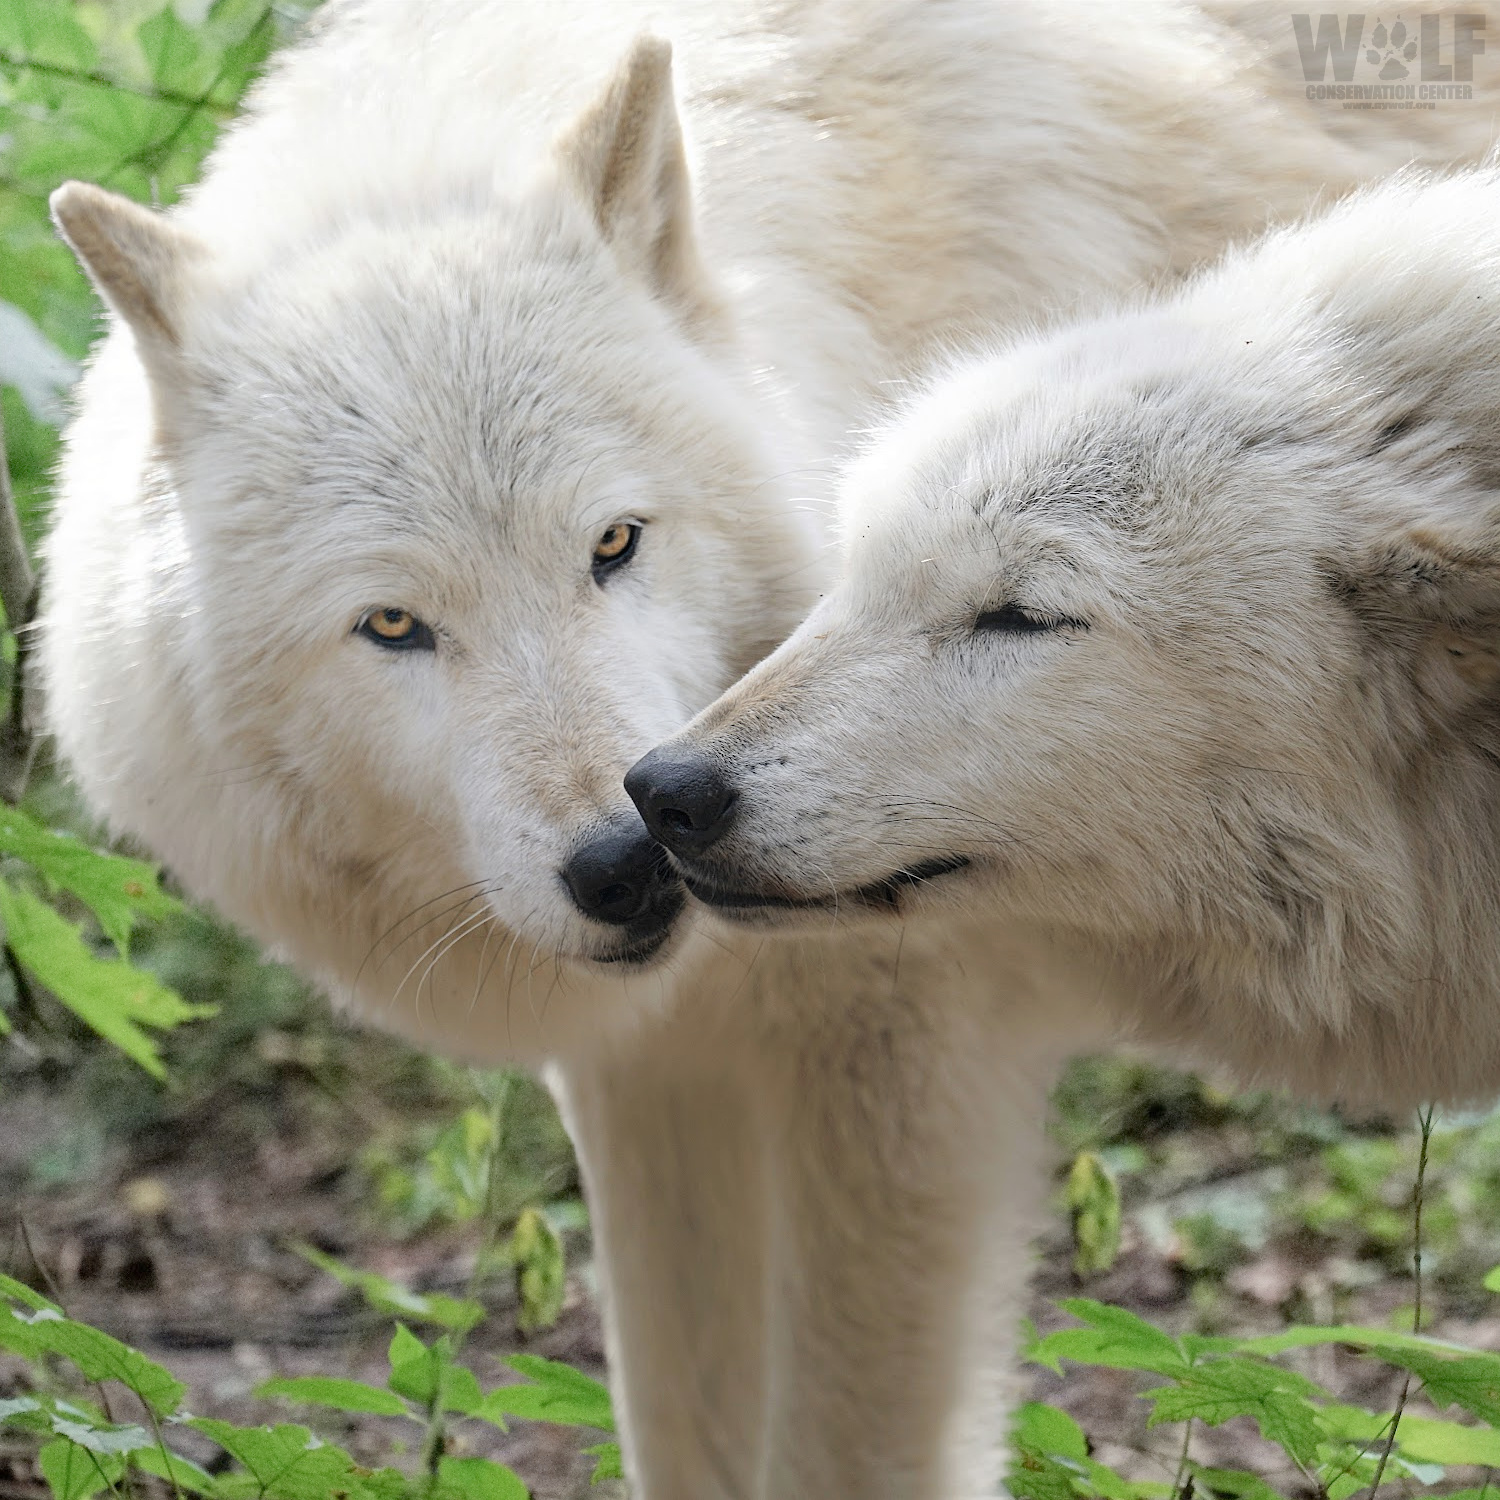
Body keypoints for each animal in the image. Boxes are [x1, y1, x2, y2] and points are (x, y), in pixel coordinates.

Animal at [41, 1, 1500, 1493]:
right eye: (392, 624)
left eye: (614, 542)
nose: (627, 858)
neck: (856, 286)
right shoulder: (654, 1073)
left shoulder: (903, 1072)